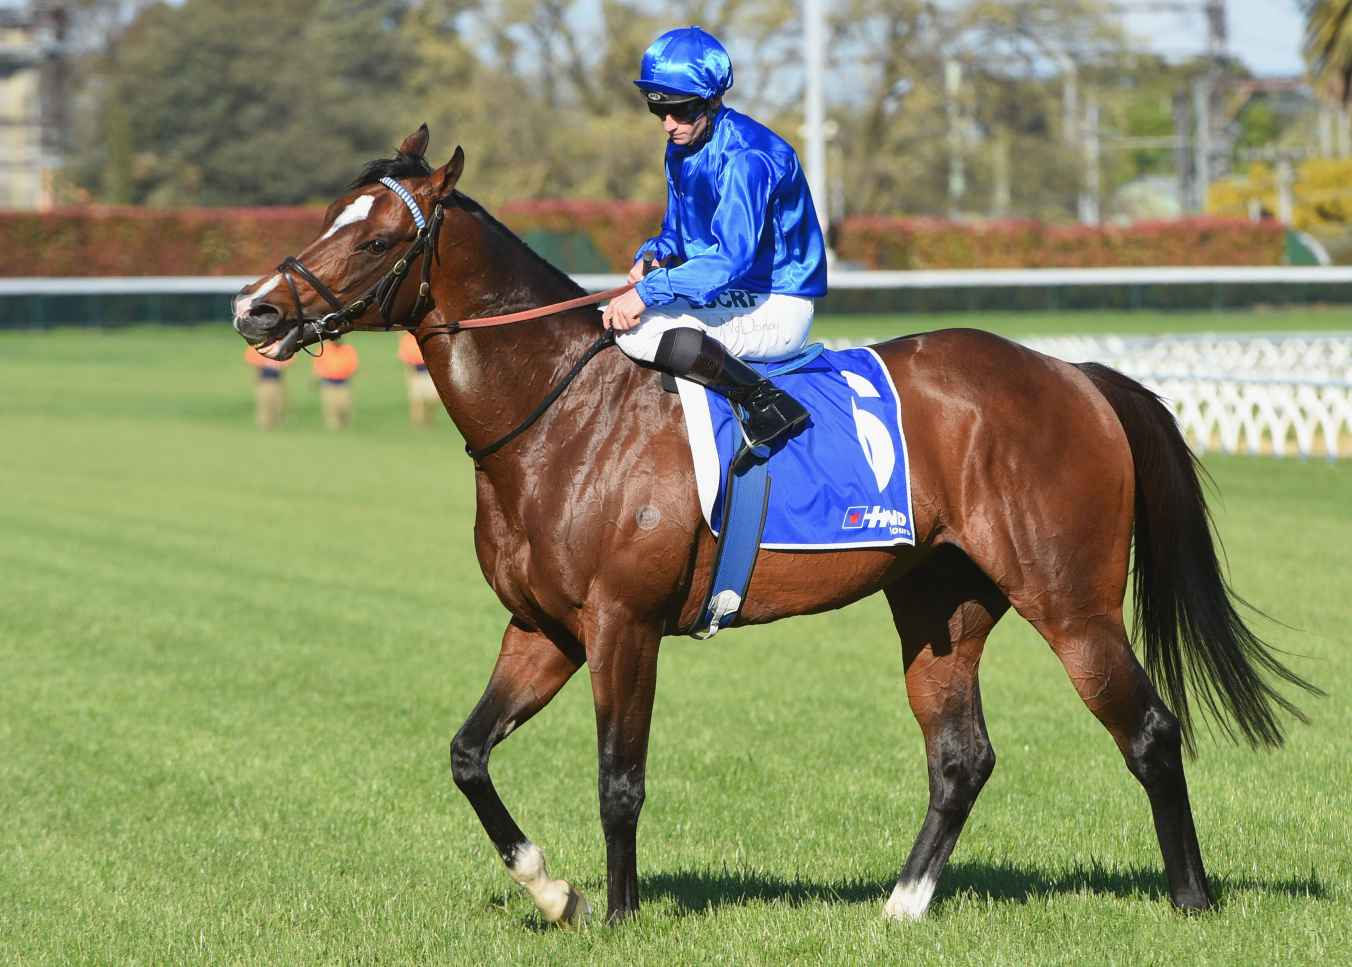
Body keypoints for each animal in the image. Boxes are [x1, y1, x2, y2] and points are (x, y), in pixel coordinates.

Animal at [231, 125, 1317, 927]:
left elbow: (618, 776)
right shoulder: (541, 630)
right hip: (941, 604)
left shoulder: (621, 624)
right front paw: (553, 888)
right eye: (330, 217)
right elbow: (467, 753)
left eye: (377, 239)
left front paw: (619, 914)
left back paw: (1190, 899)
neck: (558, 416)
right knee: (960, 755)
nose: (254, 311)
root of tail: (1075, 374)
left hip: (1070, 600)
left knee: (1148, 730)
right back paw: (901, 905)